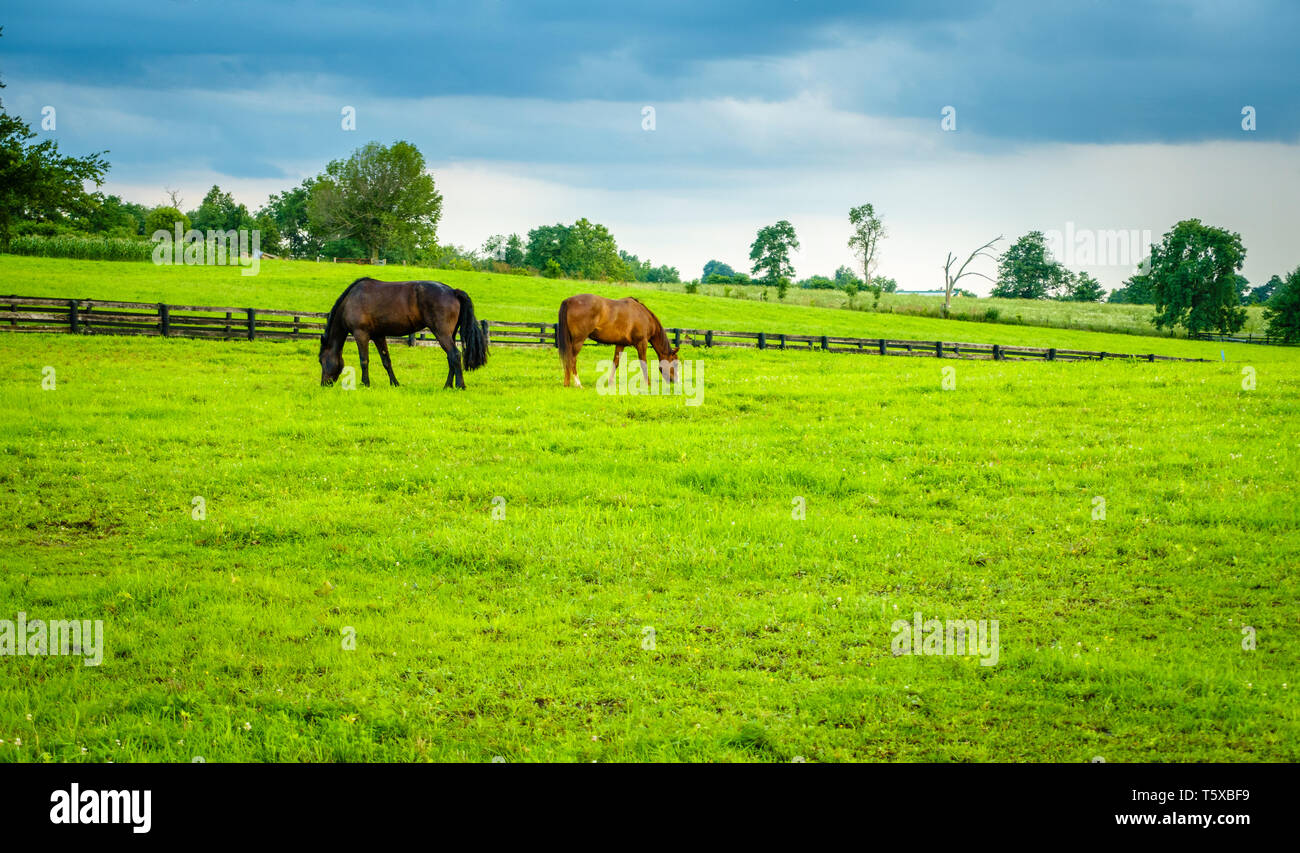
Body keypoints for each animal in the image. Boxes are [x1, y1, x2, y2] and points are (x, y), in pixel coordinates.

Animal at [318, 278, 488, 389]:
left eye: (321, 360)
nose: (324, 384)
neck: (350, 301)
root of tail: (453, 291)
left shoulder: (361, 334)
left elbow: (364, 360)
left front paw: (365, 383)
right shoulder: (378, 335)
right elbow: (386, 361)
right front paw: (395, 383)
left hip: (442, 333)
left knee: (455, 354)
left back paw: (460, 385)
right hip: (450, 334)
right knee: (451, 357)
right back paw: (447, 386)